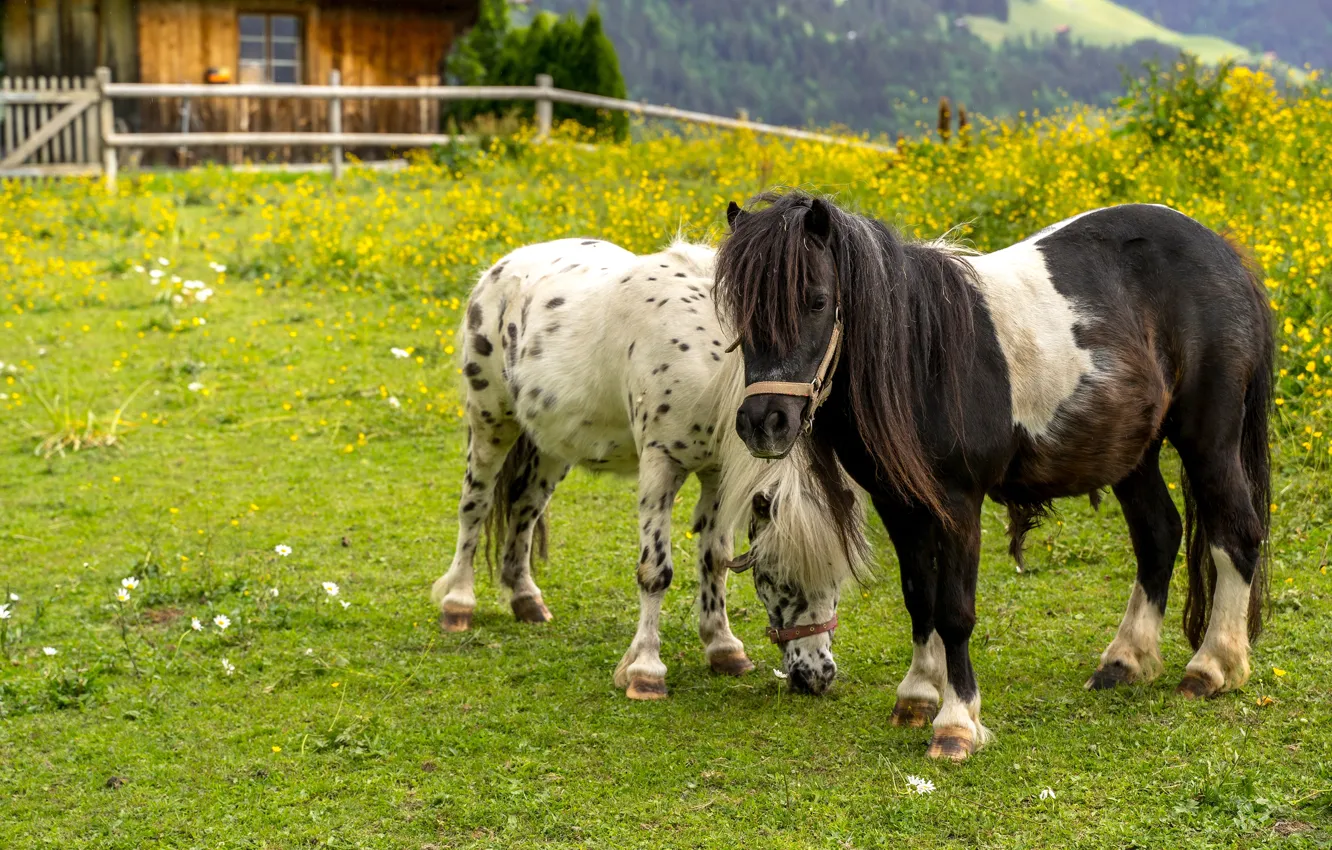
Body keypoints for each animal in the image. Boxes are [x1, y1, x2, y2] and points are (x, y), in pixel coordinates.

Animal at [431, 236, 861, 698]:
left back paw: (526, 600)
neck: (711, 360)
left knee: (524, 510)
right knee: (474, 506)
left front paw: (724, 648)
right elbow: (655, 572)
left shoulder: (716, 474)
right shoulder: (660, 468)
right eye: (780, 577)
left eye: (838, 582)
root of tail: (502, 267)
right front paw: (645, 671)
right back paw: (458, 603)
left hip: (551, 447)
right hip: (491, 424)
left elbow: (715, 559)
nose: (816, 676)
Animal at [716, 190, 1273, 760]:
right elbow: (919, 597)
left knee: (1236, 536)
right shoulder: (898, 503)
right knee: (1159, 536)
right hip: (1131, 454)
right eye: (740, 308)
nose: (764, 423)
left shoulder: (959, 503)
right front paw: (917, 695)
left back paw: (1212, 666)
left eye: (817, 300)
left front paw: (957, 723)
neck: (923, 357)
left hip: (1209, 442)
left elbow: (954, 611)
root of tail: (1224, 253)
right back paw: (1125, 661)